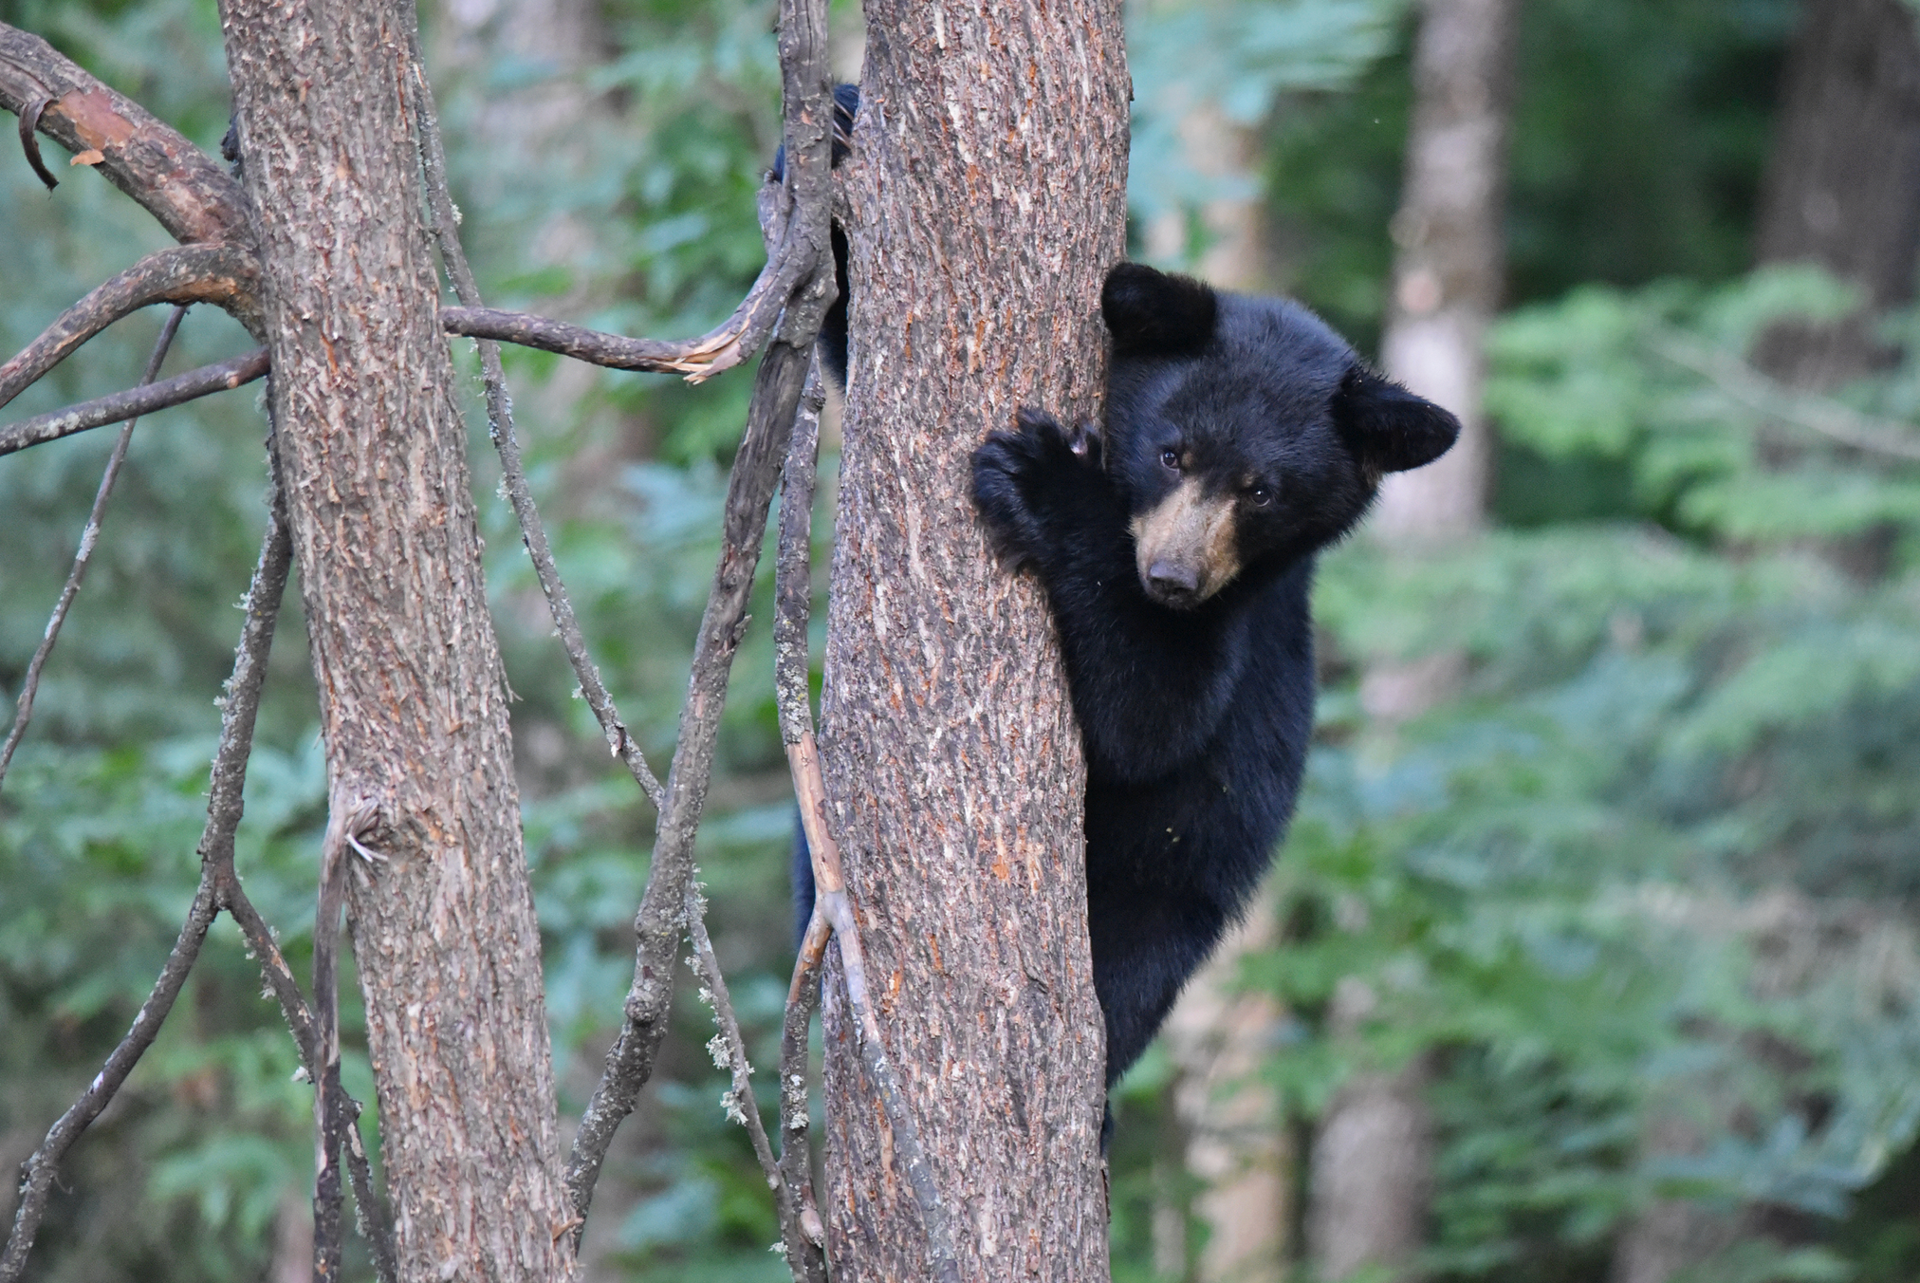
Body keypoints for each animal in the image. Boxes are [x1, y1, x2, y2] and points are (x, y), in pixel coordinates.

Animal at [782, 86, 1461, 1128]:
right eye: (1173, 450)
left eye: (1262, 490)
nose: (1173, 576)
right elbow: (858, 342)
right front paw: (836, 126)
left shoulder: (1241, 621)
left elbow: (1153, 716)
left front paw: (1045, 479)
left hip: (1168, 895)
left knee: (1132, 981)